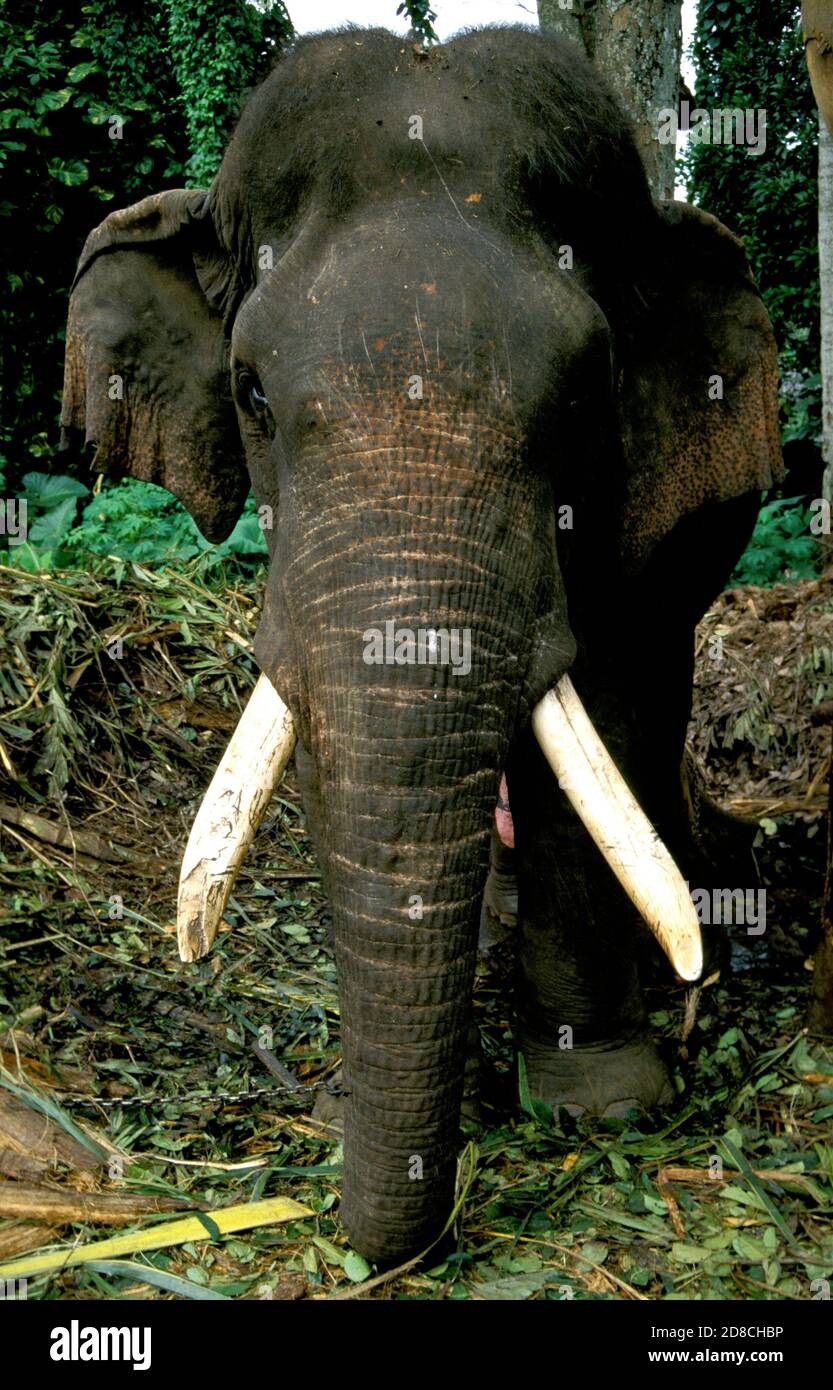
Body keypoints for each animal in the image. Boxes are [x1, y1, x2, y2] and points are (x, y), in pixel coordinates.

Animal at [60, 26, 783, 1264]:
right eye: (250, 393)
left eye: (586, 396)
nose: (383, 1246)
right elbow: (310, 729)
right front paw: (343, 1110)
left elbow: (605, 709)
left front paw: (600, 1103)